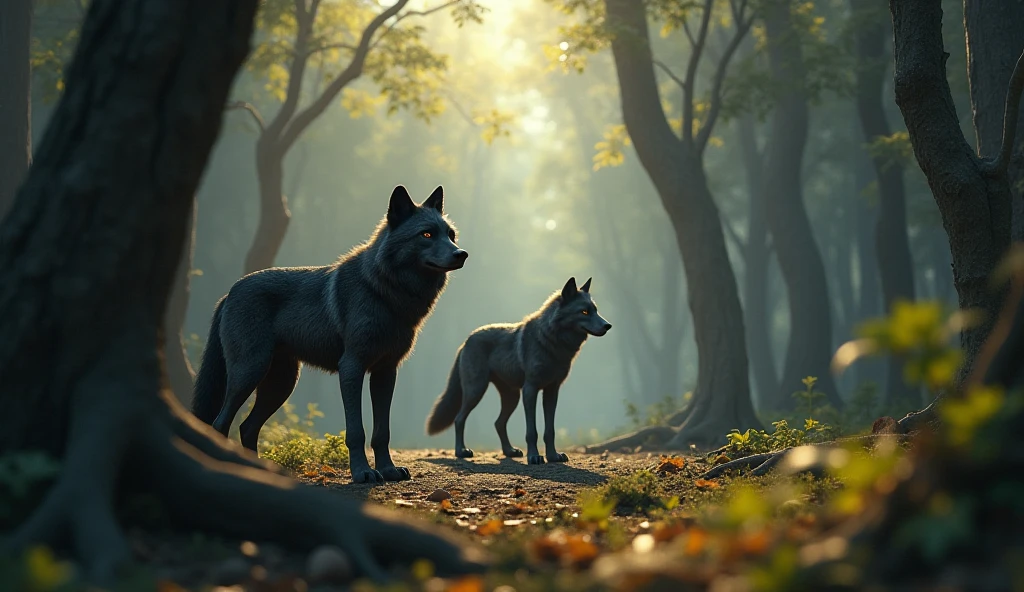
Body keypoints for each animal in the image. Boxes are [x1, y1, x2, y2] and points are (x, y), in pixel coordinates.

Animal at [191, 185, 467, 484]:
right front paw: (362, 473)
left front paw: (389, 470)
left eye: (451, 235)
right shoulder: (351, 368)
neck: (385, 292)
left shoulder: (386, 372)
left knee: (246, 427)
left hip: (281, 384)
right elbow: (356, 430)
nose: (462, 254)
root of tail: (229, 293)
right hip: (249, 373)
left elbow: (382, 432)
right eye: (426, 234)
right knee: (220, 423)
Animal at [425, 277, 611, 465]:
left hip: (511, 397)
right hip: (476, 391)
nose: (608, 325)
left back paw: (509, 451)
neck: (552, 342)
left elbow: (549, 430)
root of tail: (466, 341)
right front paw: (534, 457)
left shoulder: (552, 391)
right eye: (584, 312)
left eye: (595, 310)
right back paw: (461, 452)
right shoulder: (530, 389)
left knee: (498, 423)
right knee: (459, 419)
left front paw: (552, 456)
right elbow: (532, 431)